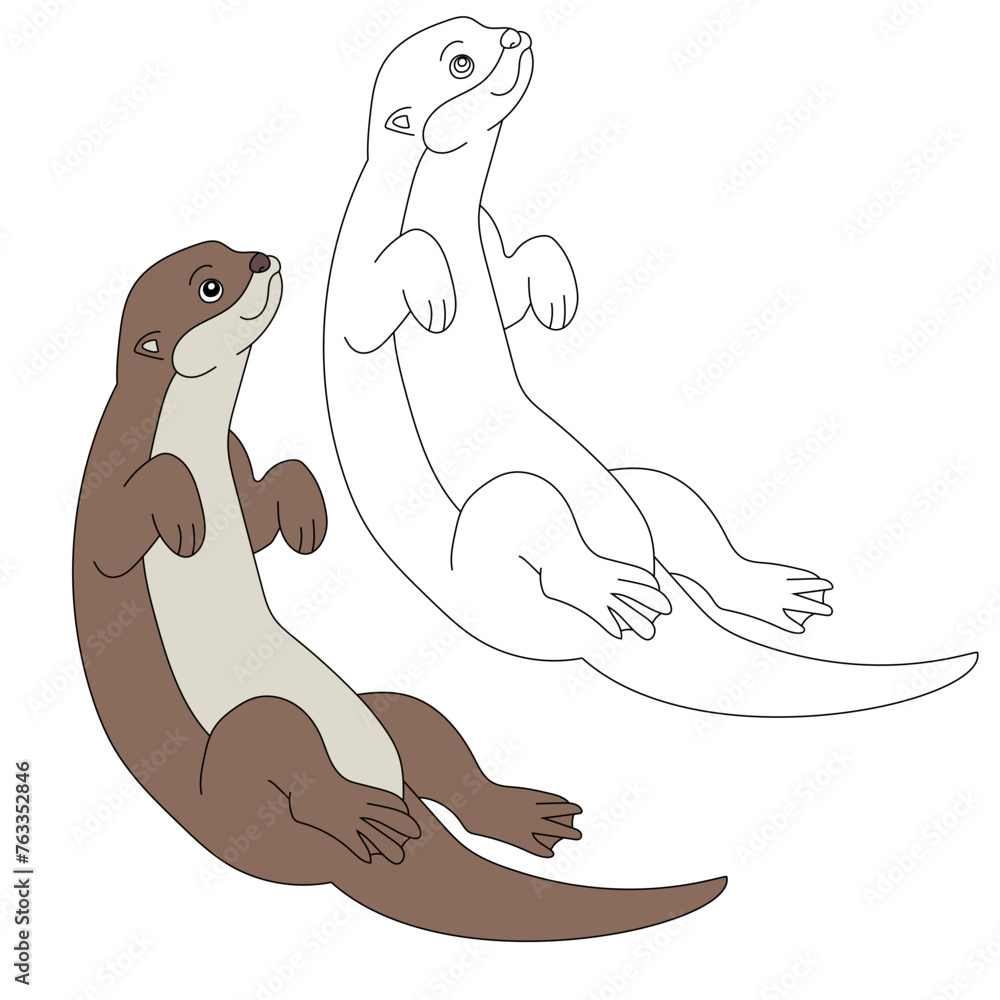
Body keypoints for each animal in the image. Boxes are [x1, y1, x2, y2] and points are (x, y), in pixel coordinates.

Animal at [72, 240, 727, 940]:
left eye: (226, 252)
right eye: (209, 286)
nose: (261, 260)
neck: (191, 435)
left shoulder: (233, 452)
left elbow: (266, 499)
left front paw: (305, 514)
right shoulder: (111, 477)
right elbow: (117, 535)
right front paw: (182, 510)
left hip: (383, 715)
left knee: (426, 737)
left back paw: (515, 812)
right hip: (233, 788)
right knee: (275, 739)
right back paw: (356, 813)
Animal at [322, 17, 976, 717]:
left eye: (482, 29)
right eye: (460, 61)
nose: (516, 35)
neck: (432, 203)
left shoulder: (483, 226)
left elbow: (517, 268)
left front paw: (553, 289)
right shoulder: (361, 254)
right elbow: (371, 307)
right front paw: (434, 289)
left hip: (639, 496)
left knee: (676, 512)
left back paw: (764, 588)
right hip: (484, 560)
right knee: (523, 517)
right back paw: (607, 587)